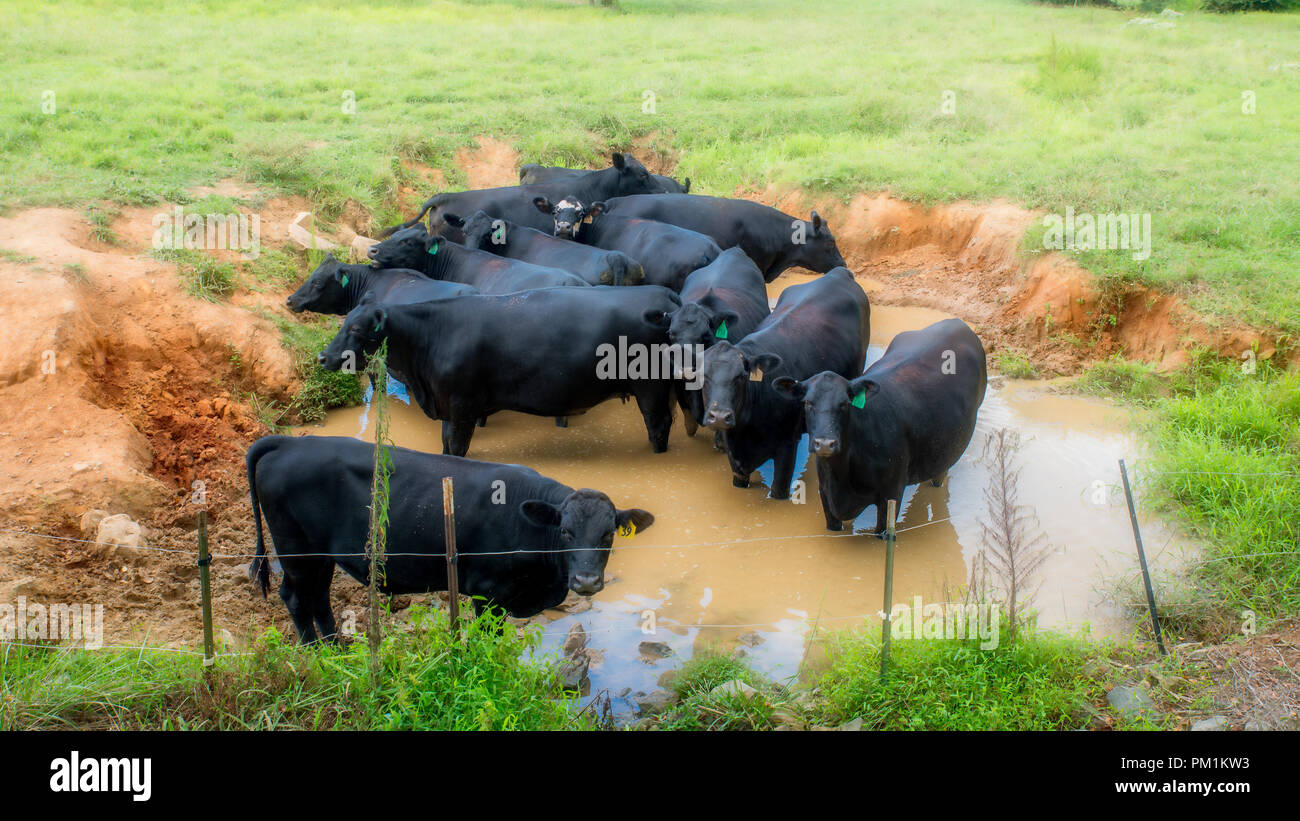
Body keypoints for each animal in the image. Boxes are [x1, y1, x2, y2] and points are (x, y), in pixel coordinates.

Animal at [246, 434, 654, 643]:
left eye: (608, 533)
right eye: (566, 531)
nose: (586, 581)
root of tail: (288, 442)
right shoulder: (488, 594)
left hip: (321, 556)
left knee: (318, 599)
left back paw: (337, 649)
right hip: (297, 551)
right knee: (296, 597)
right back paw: (316, 652)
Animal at [317, 286, 683, 456]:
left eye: (357, 329)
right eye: (344, 322)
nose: (322, 357)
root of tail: (661, 293)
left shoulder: (464, 406)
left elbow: (458, 448)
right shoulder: (448, 405)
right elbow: (446, 444)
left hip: (650, 388)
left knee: (658, 425)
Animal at [696, 267, 869, 499]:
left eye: (741, 376)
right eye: (703, 375)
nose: (720, 416)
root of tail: (838, 273)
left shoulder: (787, 446)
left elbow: (779, 490)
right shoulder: (735, 454)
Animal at [773, 318, 986, 534]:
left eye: (844, 404)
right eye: (808, 403)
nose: (825, 443)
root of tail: (956, 322)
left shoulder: (891, 495)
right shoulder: (826, 495)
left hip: (946, 454)